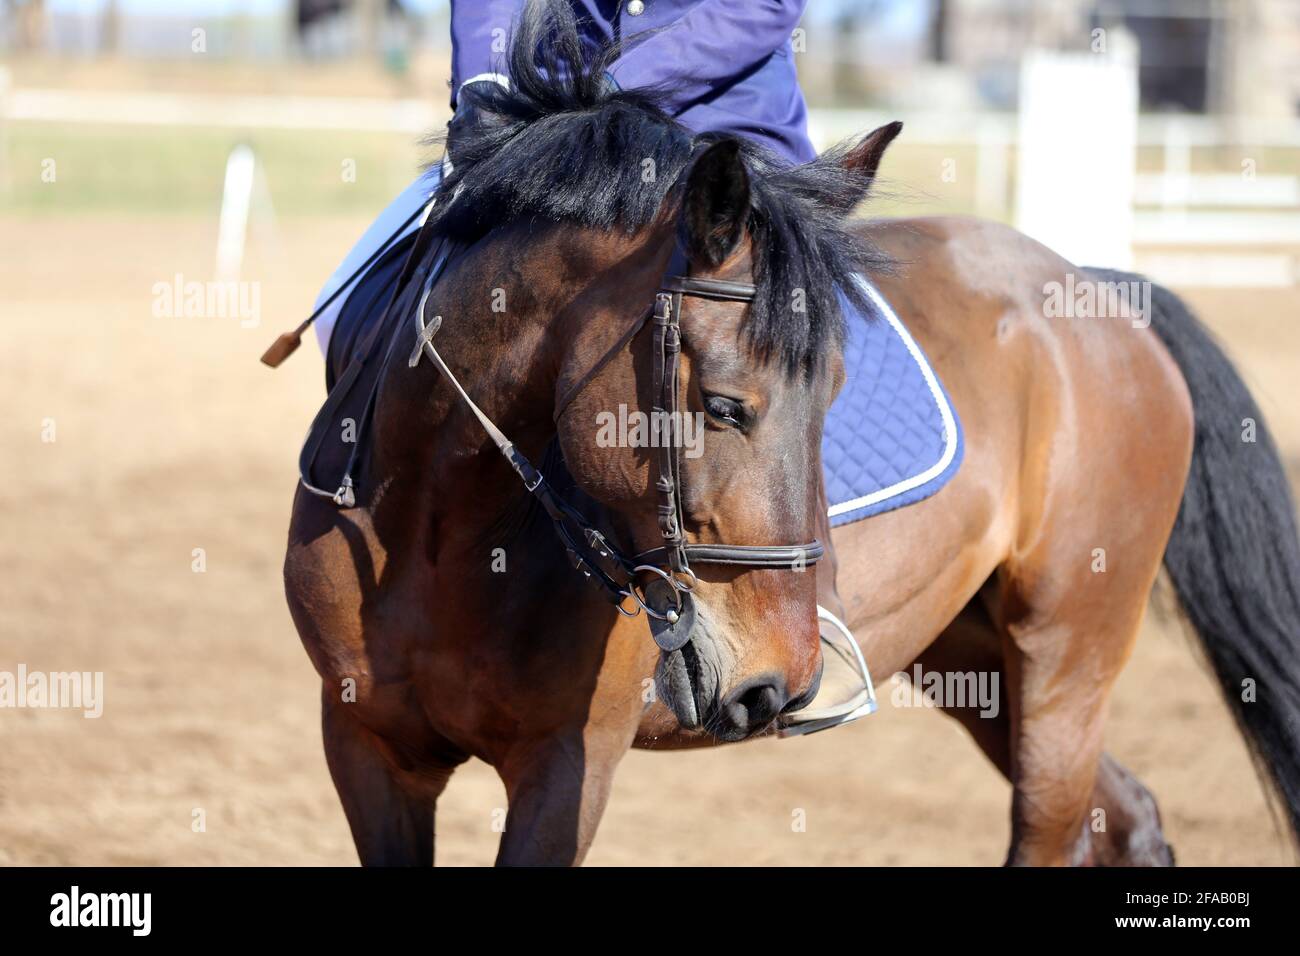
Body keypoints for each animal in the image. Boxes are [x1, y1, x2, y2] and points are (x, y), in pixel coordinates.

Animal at [280, 3, 1300, 865]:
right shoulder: (364, 749)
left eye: (835, 396)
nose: (779, 684)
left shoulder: (566, 766)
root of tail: (1099, 292)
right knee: (1126, 815)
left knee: (1052, 824)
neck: (445, 530)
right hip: (971, 657)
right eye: (725, 404)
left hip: (1065, 652)